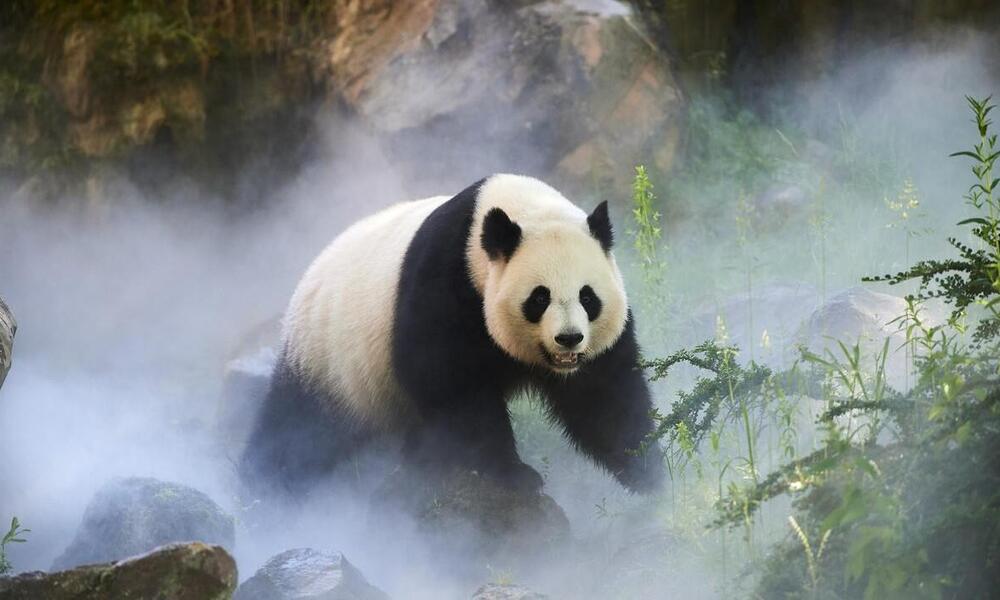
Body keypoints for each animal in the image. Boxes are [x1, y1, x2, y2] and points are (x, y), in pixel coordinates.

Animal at [240, 174, 665, 496]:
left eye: (587, 297)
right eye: (539, 297)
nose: (569, 338)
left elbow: (603, 395)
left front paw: (647, 471)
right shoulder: (446, 285)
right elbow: (455, 389)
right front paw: (514, 475)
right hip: (329, 362)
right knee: (297, 429)